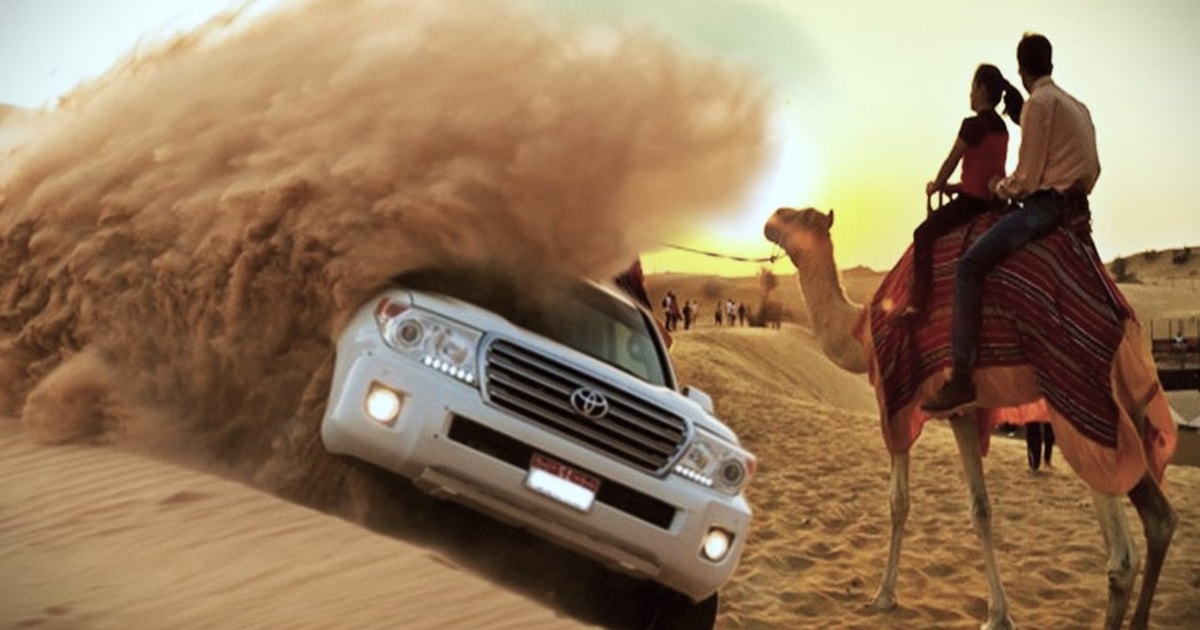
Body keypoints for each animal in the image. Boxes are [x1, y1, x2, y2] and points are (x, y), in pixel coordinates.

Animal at [763, 207, 1178, 630]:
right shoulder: (963, 410)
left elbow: (898, 501)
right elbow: (980, 508)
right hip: (1129, 409)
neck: (862, 331)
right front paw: (998, 614)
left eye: (799, 218)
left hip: (1083, 406)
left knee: (1122, 559)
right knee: (1160, 520)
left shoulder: (897, 405)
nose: (771, 219)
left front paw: (883, 595)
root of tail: (1125, 322)